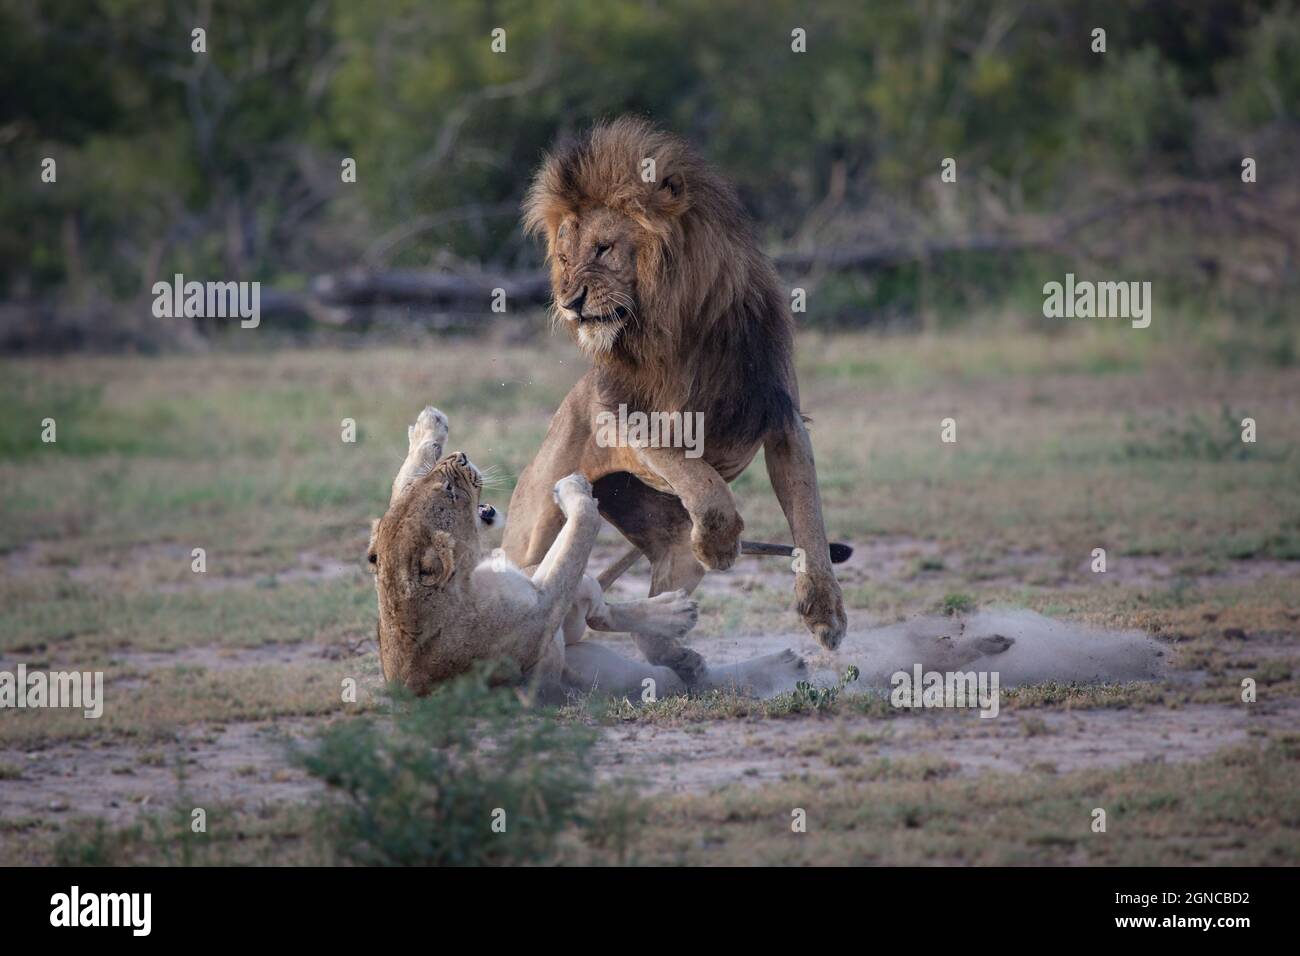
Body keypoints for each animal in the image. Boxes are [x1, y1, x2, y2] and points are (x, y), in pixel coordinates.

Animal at [368, 406, 806, 700]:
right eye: (449, 491)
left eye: (435, 482)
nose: (459, 456)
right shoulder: (541, 610)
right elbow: (580, 534)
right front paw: (573, 489)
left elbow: (398, 483)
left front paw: (429, 426)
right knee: (676, 673)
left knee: (600, 608)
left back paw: (674, 615)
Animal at [504, 116, 847, 686]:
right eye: (564, 257)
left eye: (603, 248)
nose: (569, 303)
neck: (680, 324)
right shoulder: (626, 418)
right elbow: (700, 480)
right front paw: (721, 543)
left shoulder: (781, 419)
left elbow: (810, 518)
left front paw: (825, 614)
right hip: (532, 535)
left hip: (672, 550)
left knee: (651, 625)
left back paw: (686, 656)